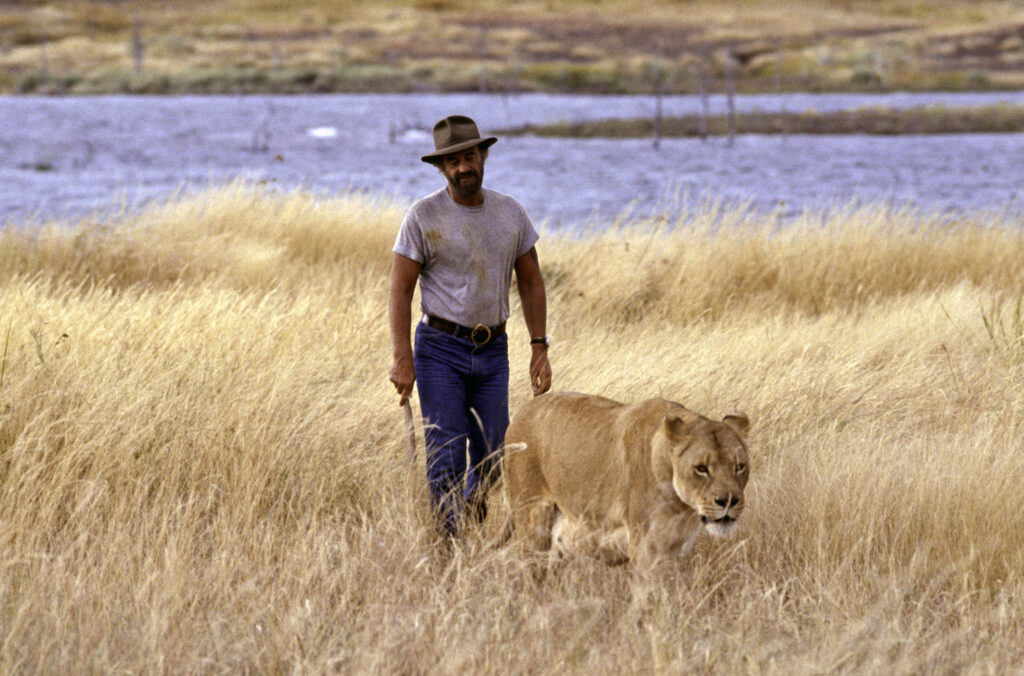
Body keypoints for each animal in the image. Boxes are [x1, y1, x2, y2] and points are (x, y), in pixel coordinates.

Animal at [501, 391, 750, 569]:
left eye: (739, 467)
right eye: (701, 469)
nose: (728, 501)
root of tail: (524, 407)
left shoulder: (672, 551)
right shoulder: (648, 553)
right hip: (532, 524)